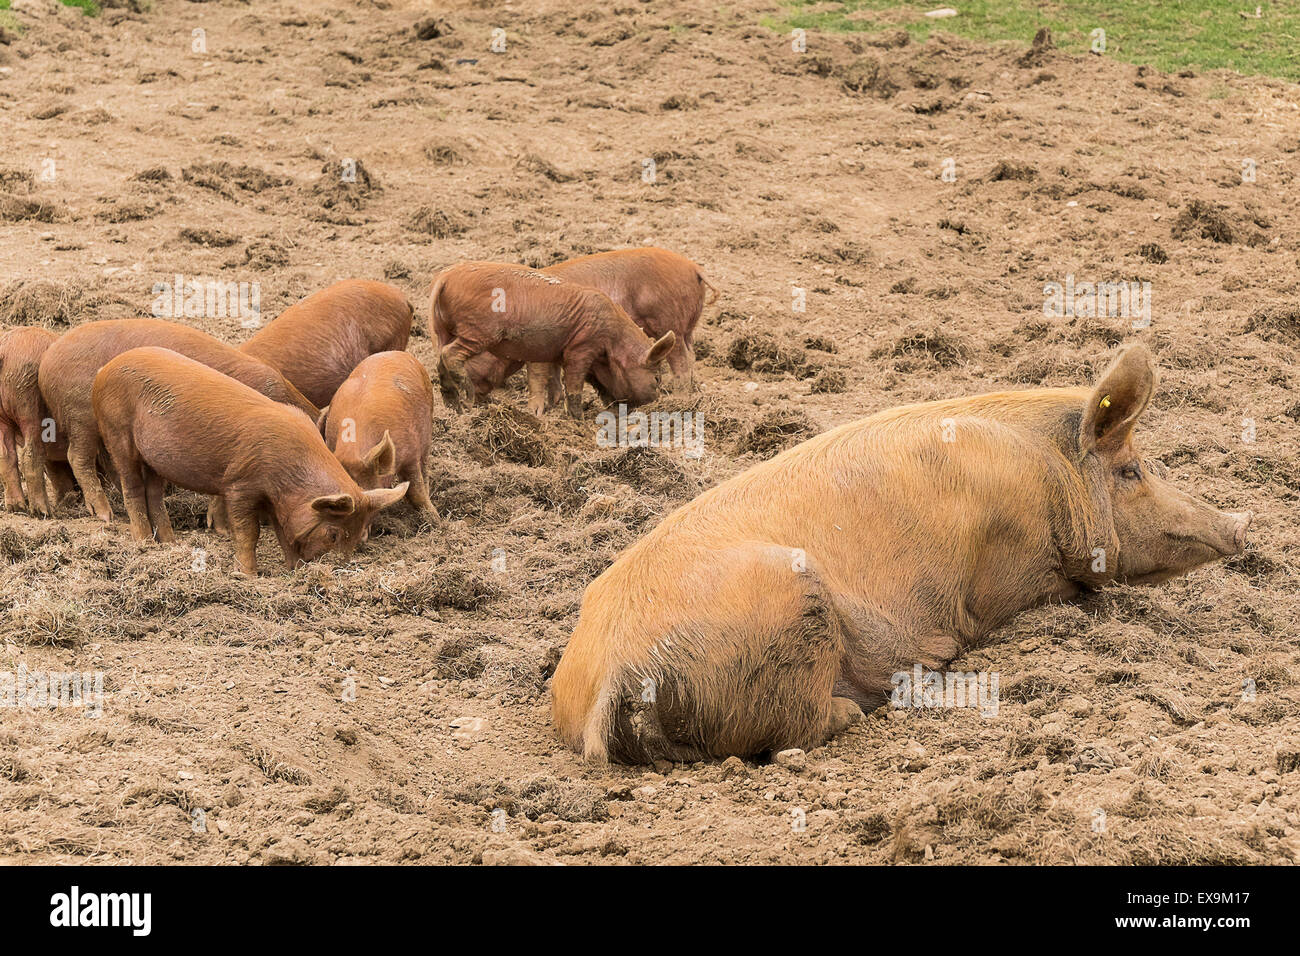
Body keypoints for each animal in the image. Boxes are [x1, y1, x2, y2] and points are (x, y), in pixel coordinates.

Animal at [0, 326, 73, 515]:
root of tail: (5, 351)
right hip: (30, 403)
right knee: (30, 453)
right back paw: (43, 511)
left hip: (3, 415)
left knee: (6, 455)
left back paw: (17, 507)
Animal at [92, 347, 408, 574]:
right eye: (333, 534)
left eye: (354, 539)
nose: (335, 567)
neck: (288, 474)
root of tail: (104, 370)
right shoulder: (239, 485)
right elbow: (248, 532)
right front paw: (247, 575)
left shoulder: (277, 501)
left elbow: (284, 533)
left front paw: (293, 571)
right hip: (117, 432)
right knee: (131, 487)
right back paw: (144, 542)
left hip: (154, 459)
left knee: (154, 494)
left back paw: (170, 543)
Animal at [317, 350, 435, 513]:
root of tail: (398, 353)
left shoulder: (410, 454)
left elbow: (415, 490)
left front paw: (436, 517)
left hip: (428, 426)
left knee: (424, 464)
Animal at [430, 261, 675, 418]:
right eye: (657, 379)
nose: (657, 404)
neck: (613, 340)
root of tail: (444, 277)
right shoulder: (582, 347)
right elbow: (573, 383)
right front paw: (577, 420)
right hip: (479, 330)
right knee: (449, 355)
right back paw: (467, 395)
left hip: (444, 329)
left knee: (439, 361)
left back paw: (454, 407)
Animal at [551, 345, 1252, 763]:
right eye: (1133, 471)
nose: (1243, 526)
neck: (1050, 477)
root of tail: (604, 680)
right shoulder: (1010, 575)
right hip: (792, 602)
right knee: (794, 728)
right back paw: (858, 708)